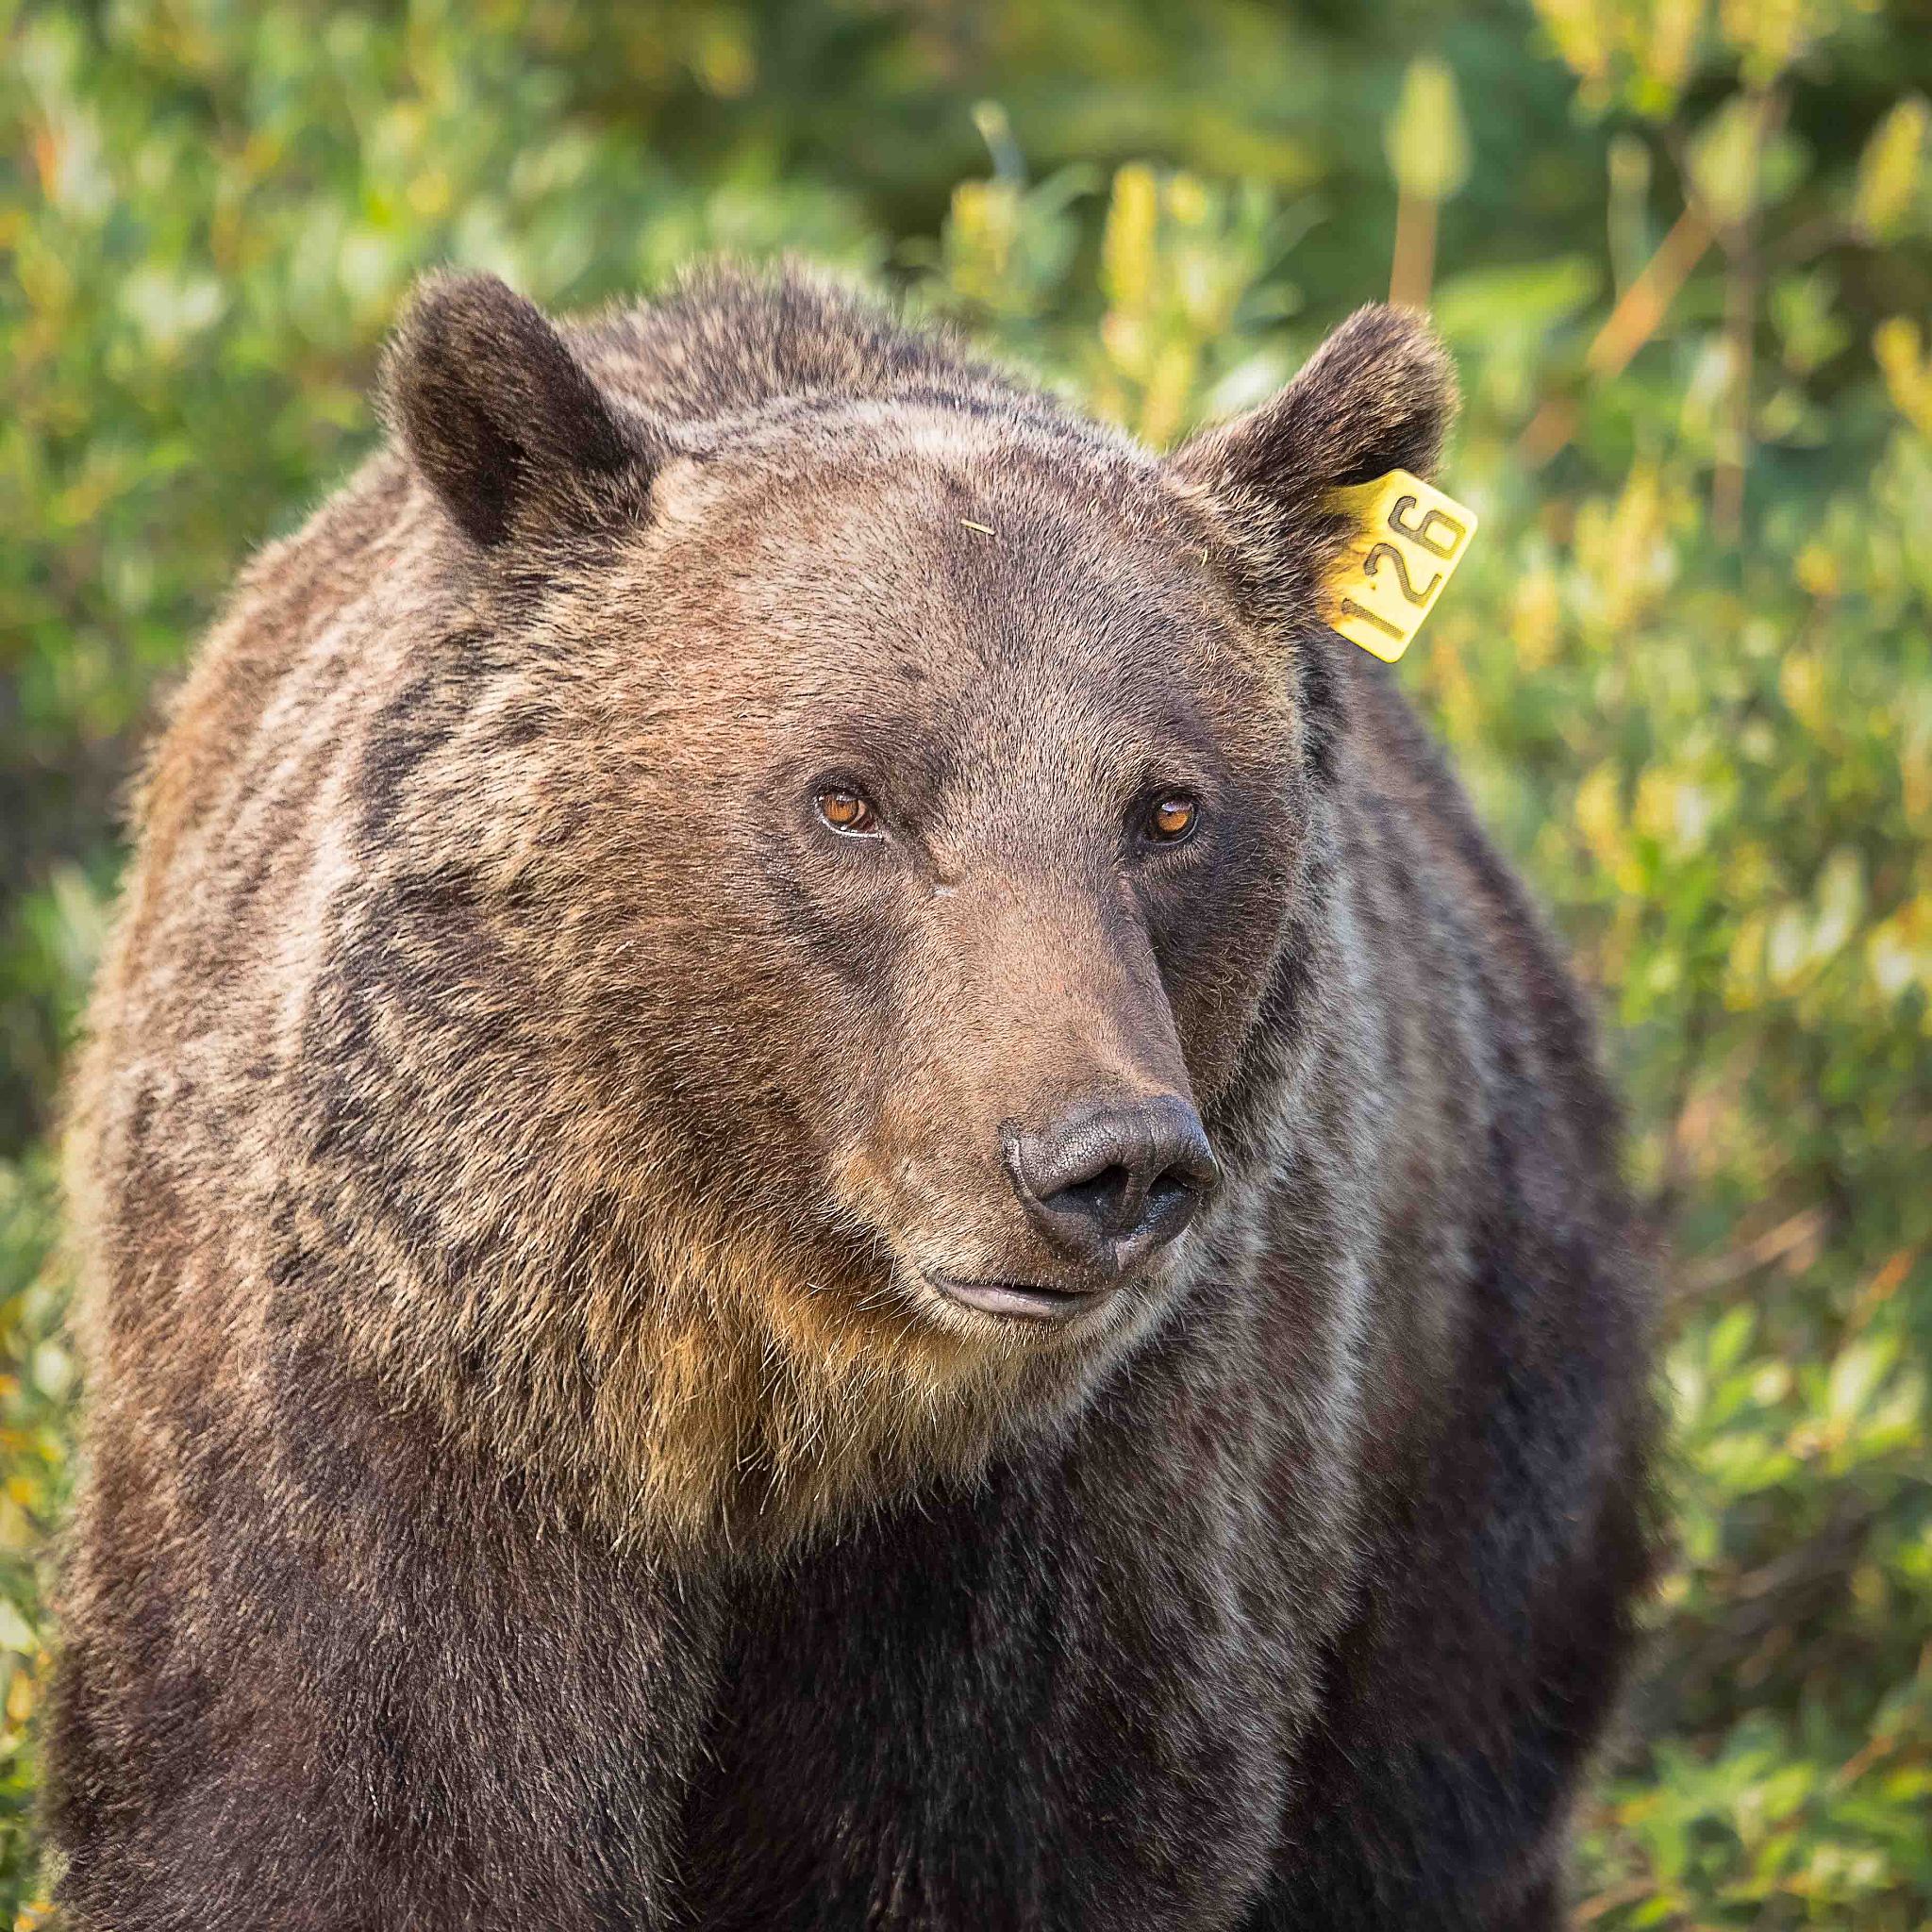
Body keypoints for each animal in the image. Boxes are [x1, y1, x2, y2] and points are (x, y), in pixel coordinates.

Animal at [49, 263, 1656, 1931]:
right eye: (850, 798)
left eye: (1168, 809)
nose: (1103, 1164)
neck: (757, 1391)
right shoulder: (400, 1414)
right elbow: (348, 1818)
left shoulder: (1078, 1528)